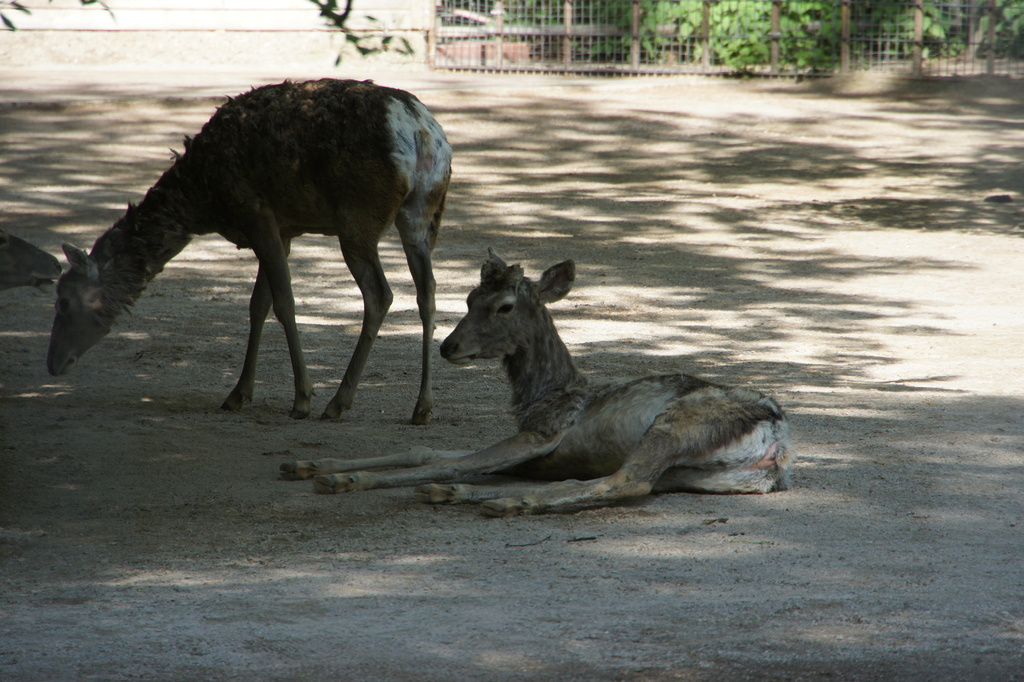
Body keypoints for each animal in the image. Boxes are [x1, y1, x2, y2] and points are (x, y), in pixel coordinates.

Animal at [46, 79, 452, 424]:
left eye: (63, 301)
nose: (53, 364)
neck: (204, 200)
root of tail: (421, 131)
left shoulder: (256, 213)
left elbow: (284, 303)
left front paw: (302, 398)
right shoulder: (284, 229)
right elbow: (258, 305)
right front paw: (238, 393)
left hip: (358, 218)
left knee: (380, 294)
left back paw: (338, 402)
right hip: (423, 214)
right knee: (428, 292)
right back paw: (422, 406)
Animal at [280, 250, 793, 516]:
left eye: (504, 306)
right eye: (469, 297)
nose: (449, 347)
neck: (541, 396)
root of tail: (776, 440)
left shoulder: (541, 434)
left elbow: (450, 461)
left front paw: (345, 477)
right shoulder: (535, 447)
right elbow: (426, 451)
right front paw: (310, 463)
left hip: (676, 424)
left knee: (626, 483)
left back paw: (507, 501)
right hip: (698, 474)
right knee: (614, 480)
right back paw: (472, 496)